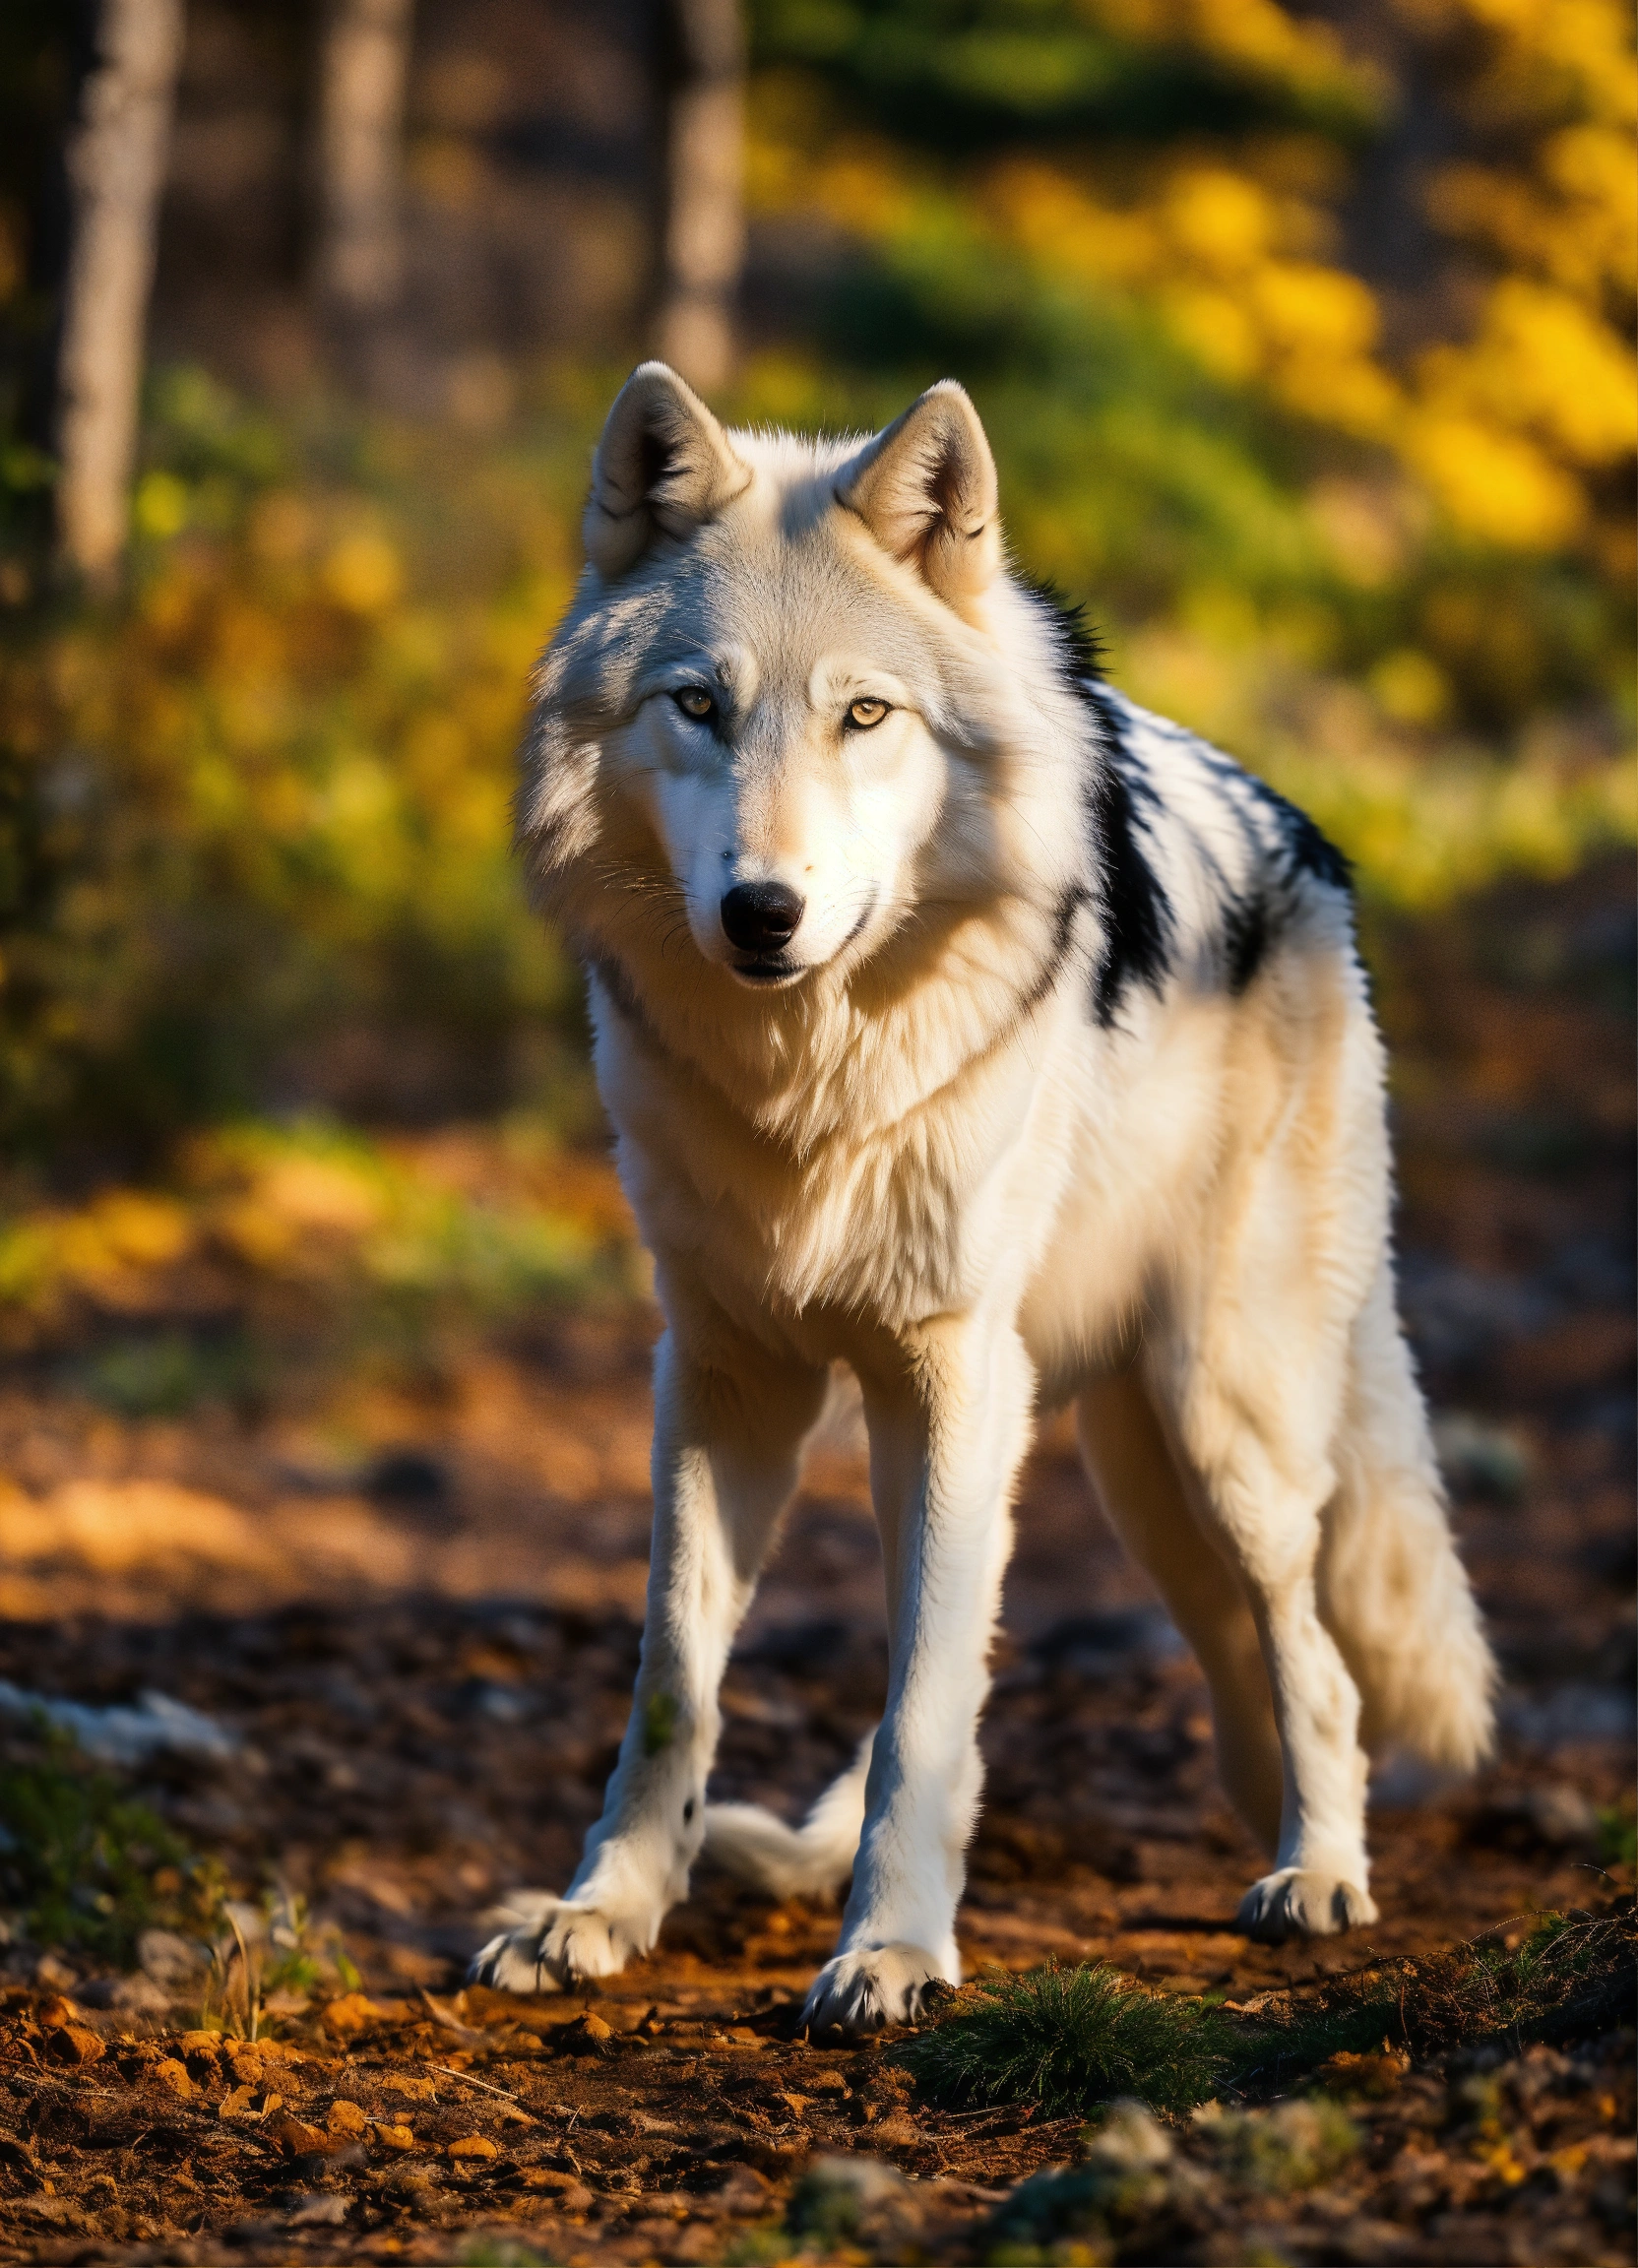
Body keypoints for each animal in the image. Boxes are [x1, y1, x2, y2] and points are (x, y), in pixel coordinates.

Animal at [471, 363, 1496, 2032]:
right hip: (1125, 1465)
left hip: (1219, 1412)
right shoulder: (724, 1369)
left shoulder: (950, 1374)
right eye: (698, 705)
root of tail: (1304, 837)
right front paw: (599, 1917)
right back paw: (1267, 1823)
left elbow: (927, 1702)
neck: (811, 1080)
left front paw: (889, 1948)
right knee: (1240, 1652)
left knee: (1315, 1644)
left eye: (865, 715)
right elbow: (676, 1680)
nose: (764, 911)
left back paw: (1320, 1871)